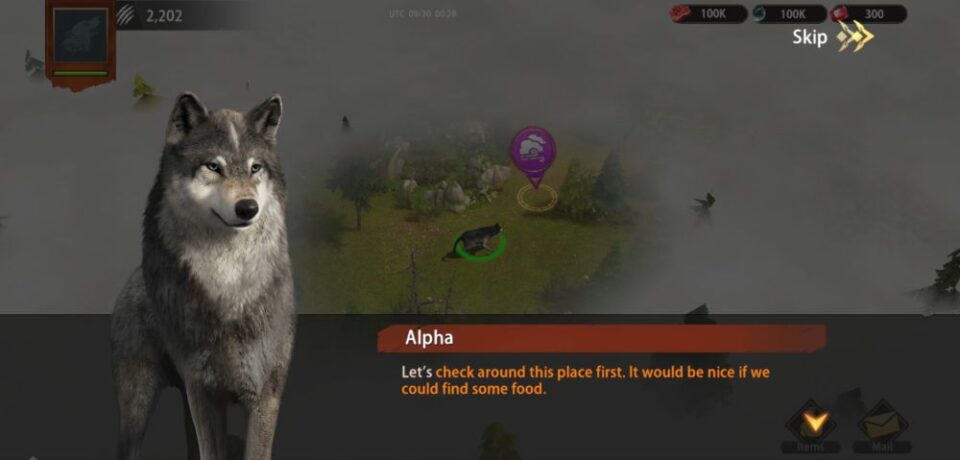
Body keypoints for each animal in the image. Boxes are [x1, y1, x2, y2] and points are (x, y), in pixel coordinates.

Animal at [110, 92, 296, 460]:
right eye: (213, 166)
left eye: (255, 167)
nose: (247, 208)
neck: (230, 289)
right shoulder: (204, 395)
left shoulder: (264, 395)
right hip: (138, 403)